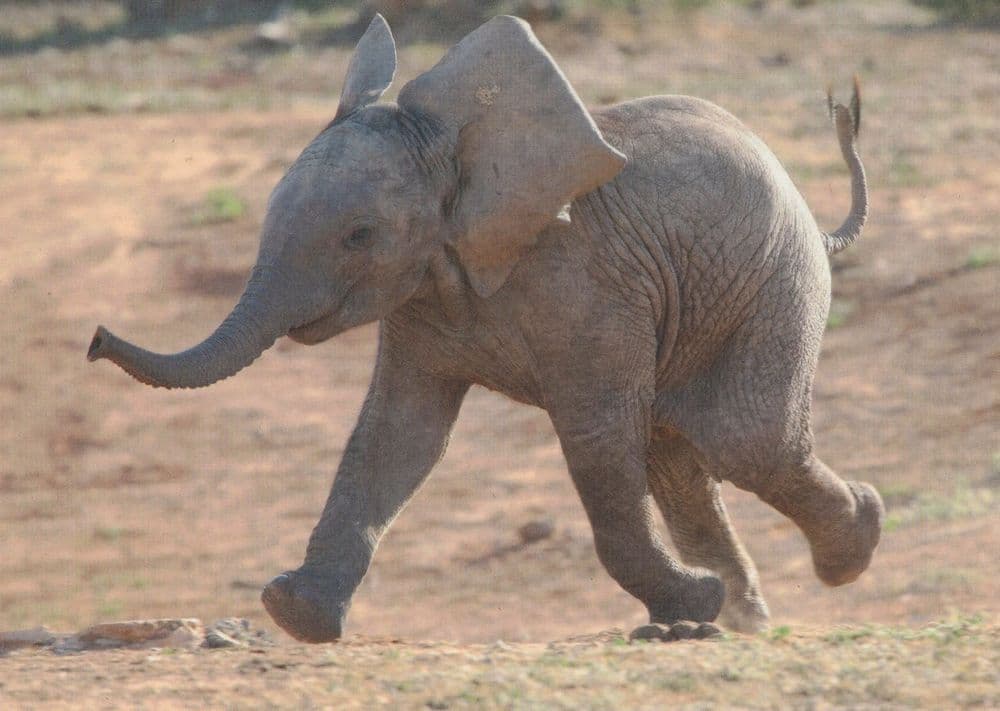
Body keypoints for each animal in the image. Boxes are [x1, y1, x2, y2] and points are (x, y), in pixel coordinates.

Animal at [88, 14, 884, 642]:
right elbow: (398, 432)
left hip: (773, 282)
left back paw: (849, 545)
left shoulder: (587, 286)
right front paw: (295, 613)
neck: (454, 151)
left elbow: (596, 439)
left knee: (743, 440)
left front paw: (692, 603)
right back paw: (741, 616)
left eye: (359, 236)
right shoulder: (421, 297)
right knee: (681, 456)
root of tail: (815, 219)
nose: (94, 340)